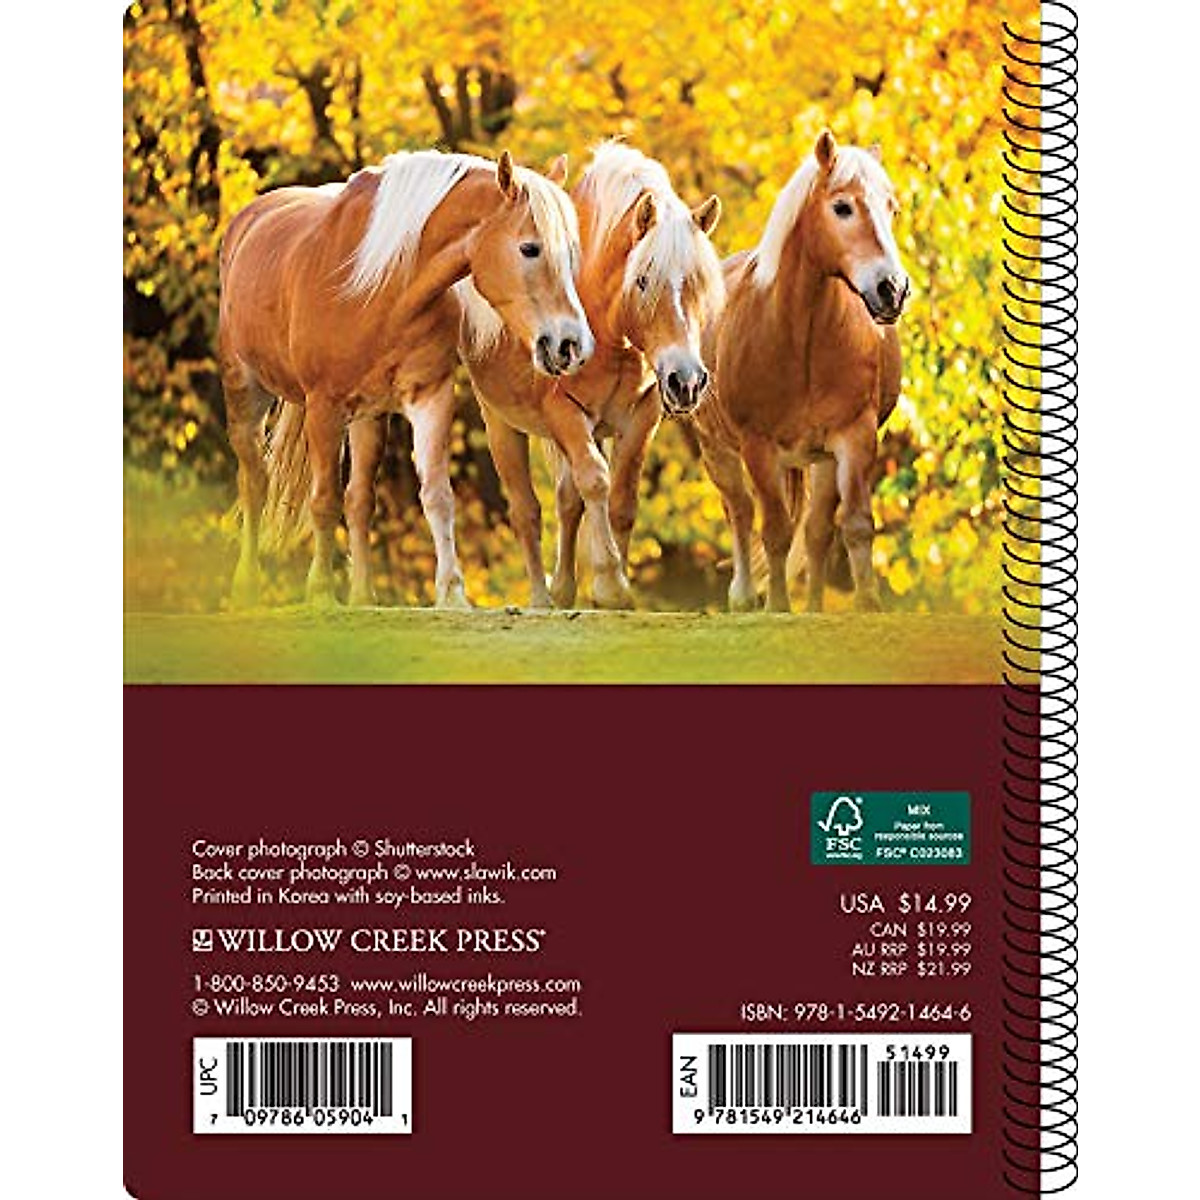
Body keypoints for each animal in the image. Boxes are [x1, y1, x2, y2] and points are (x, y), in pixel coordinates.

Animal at [218, 149, 592, 609]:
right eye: (529, 248)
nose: (570, 345)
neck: (383, 290)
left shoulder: (429, 397)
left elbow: (437, 495)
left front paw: (452, 593)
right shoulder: (324, 408)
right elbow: (323, 501)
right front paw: (320, 591)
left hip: (368, 418)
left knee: (359, 500)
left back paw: (363, 595)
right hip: (244, 393)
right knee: (254, 482)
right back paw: (247, 586)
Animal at [455, 141, 725, 610]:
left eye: (698, 283)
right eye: (642, 280)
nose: (686, 380)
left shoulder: (641, 415)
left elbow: (620, 498)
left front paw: (613, 584)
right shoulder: (565, 413)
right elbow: (596, 482)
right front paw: (609, 584)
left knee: (567, 500)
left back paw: (563, 590)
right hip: (501, 425)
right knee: (526, 511)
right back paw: (542, 597)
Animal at [693, 130, 908, 614]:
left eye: (892, 208)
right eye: (842, 207)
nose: (893, 289)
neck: (801, 341)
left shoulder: (853, 437)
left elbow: (853, 524)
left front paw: (868, 603)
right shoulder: (758, 447)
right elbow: (774, 530)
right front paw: (776, 605)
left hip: (820, 460)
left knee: (815, 532)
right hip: (717, 450)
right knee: (739, 510)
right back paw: (743, 596)